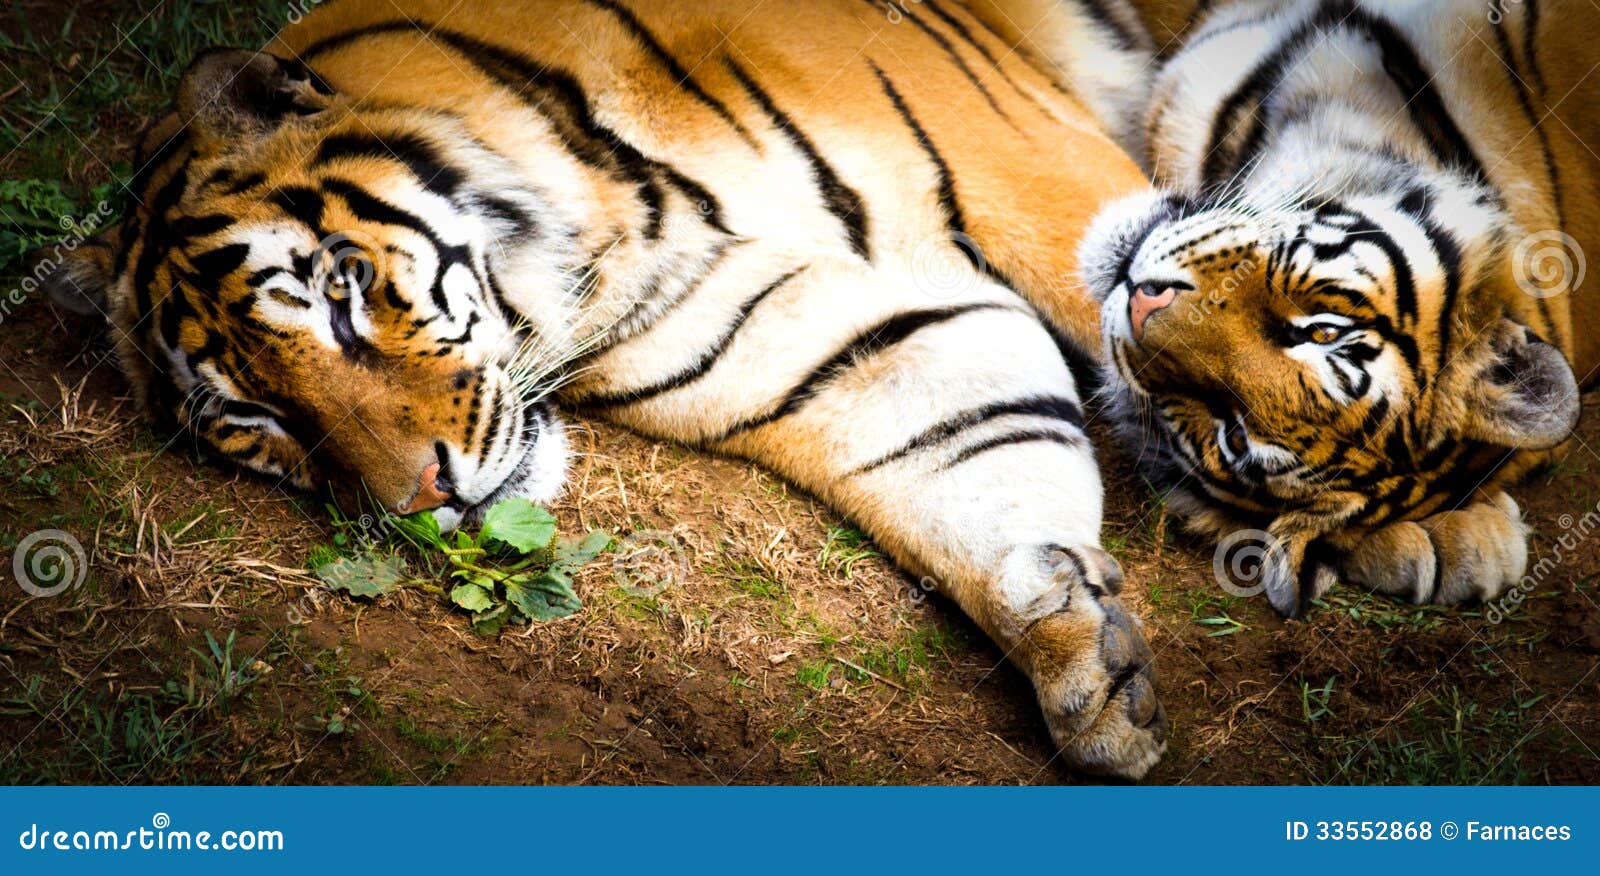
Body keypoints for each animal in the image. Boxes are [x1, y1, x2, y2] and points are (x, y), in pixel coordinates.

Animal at [36, 0, 1172, 778]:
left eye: (342, 295)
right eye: (257, 418)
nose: (424, 499)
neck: (624, 219)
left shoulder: (1023, 167)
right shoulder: (857, 341)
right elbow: (983, 469)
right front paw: (1090, 665)